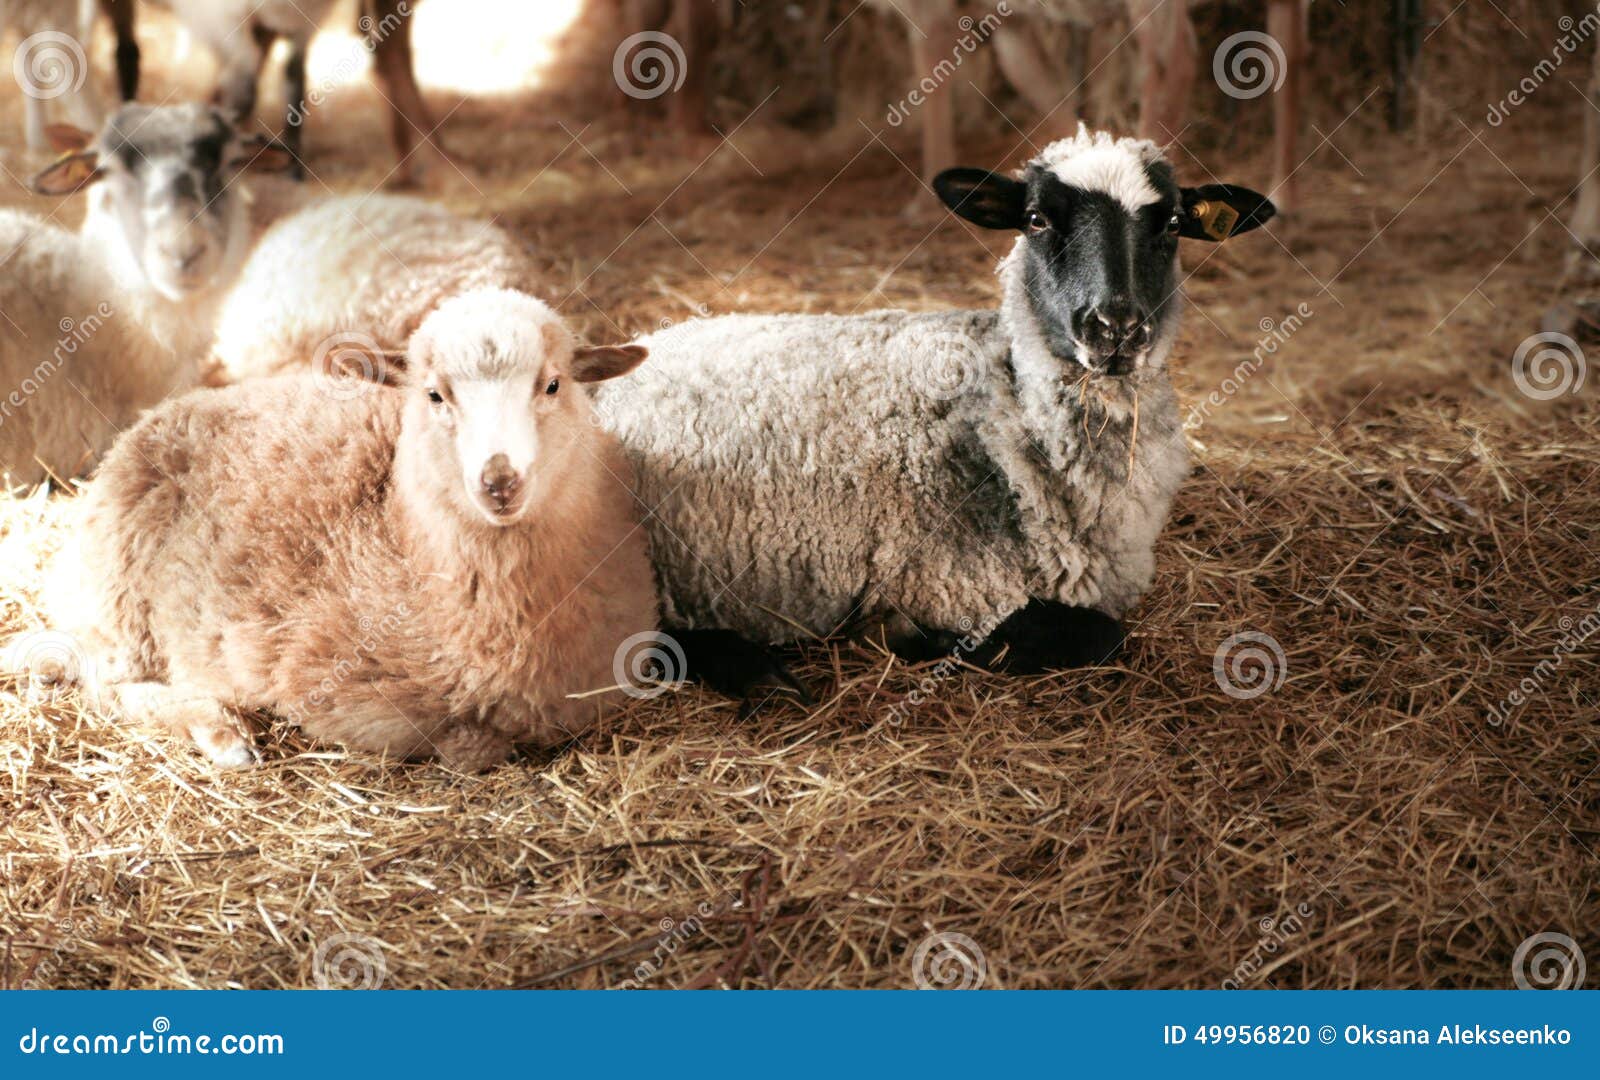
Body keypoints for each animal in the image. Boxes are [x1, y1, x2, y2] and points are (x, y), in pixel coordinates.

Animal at [593, 128, 1274, 673]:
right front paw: (901, 635)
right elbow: (1099, 636)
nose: (1115, 328)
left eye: (1175, 225)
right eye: (1036, 220)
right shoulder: (951, 584)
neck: (1004, 419)